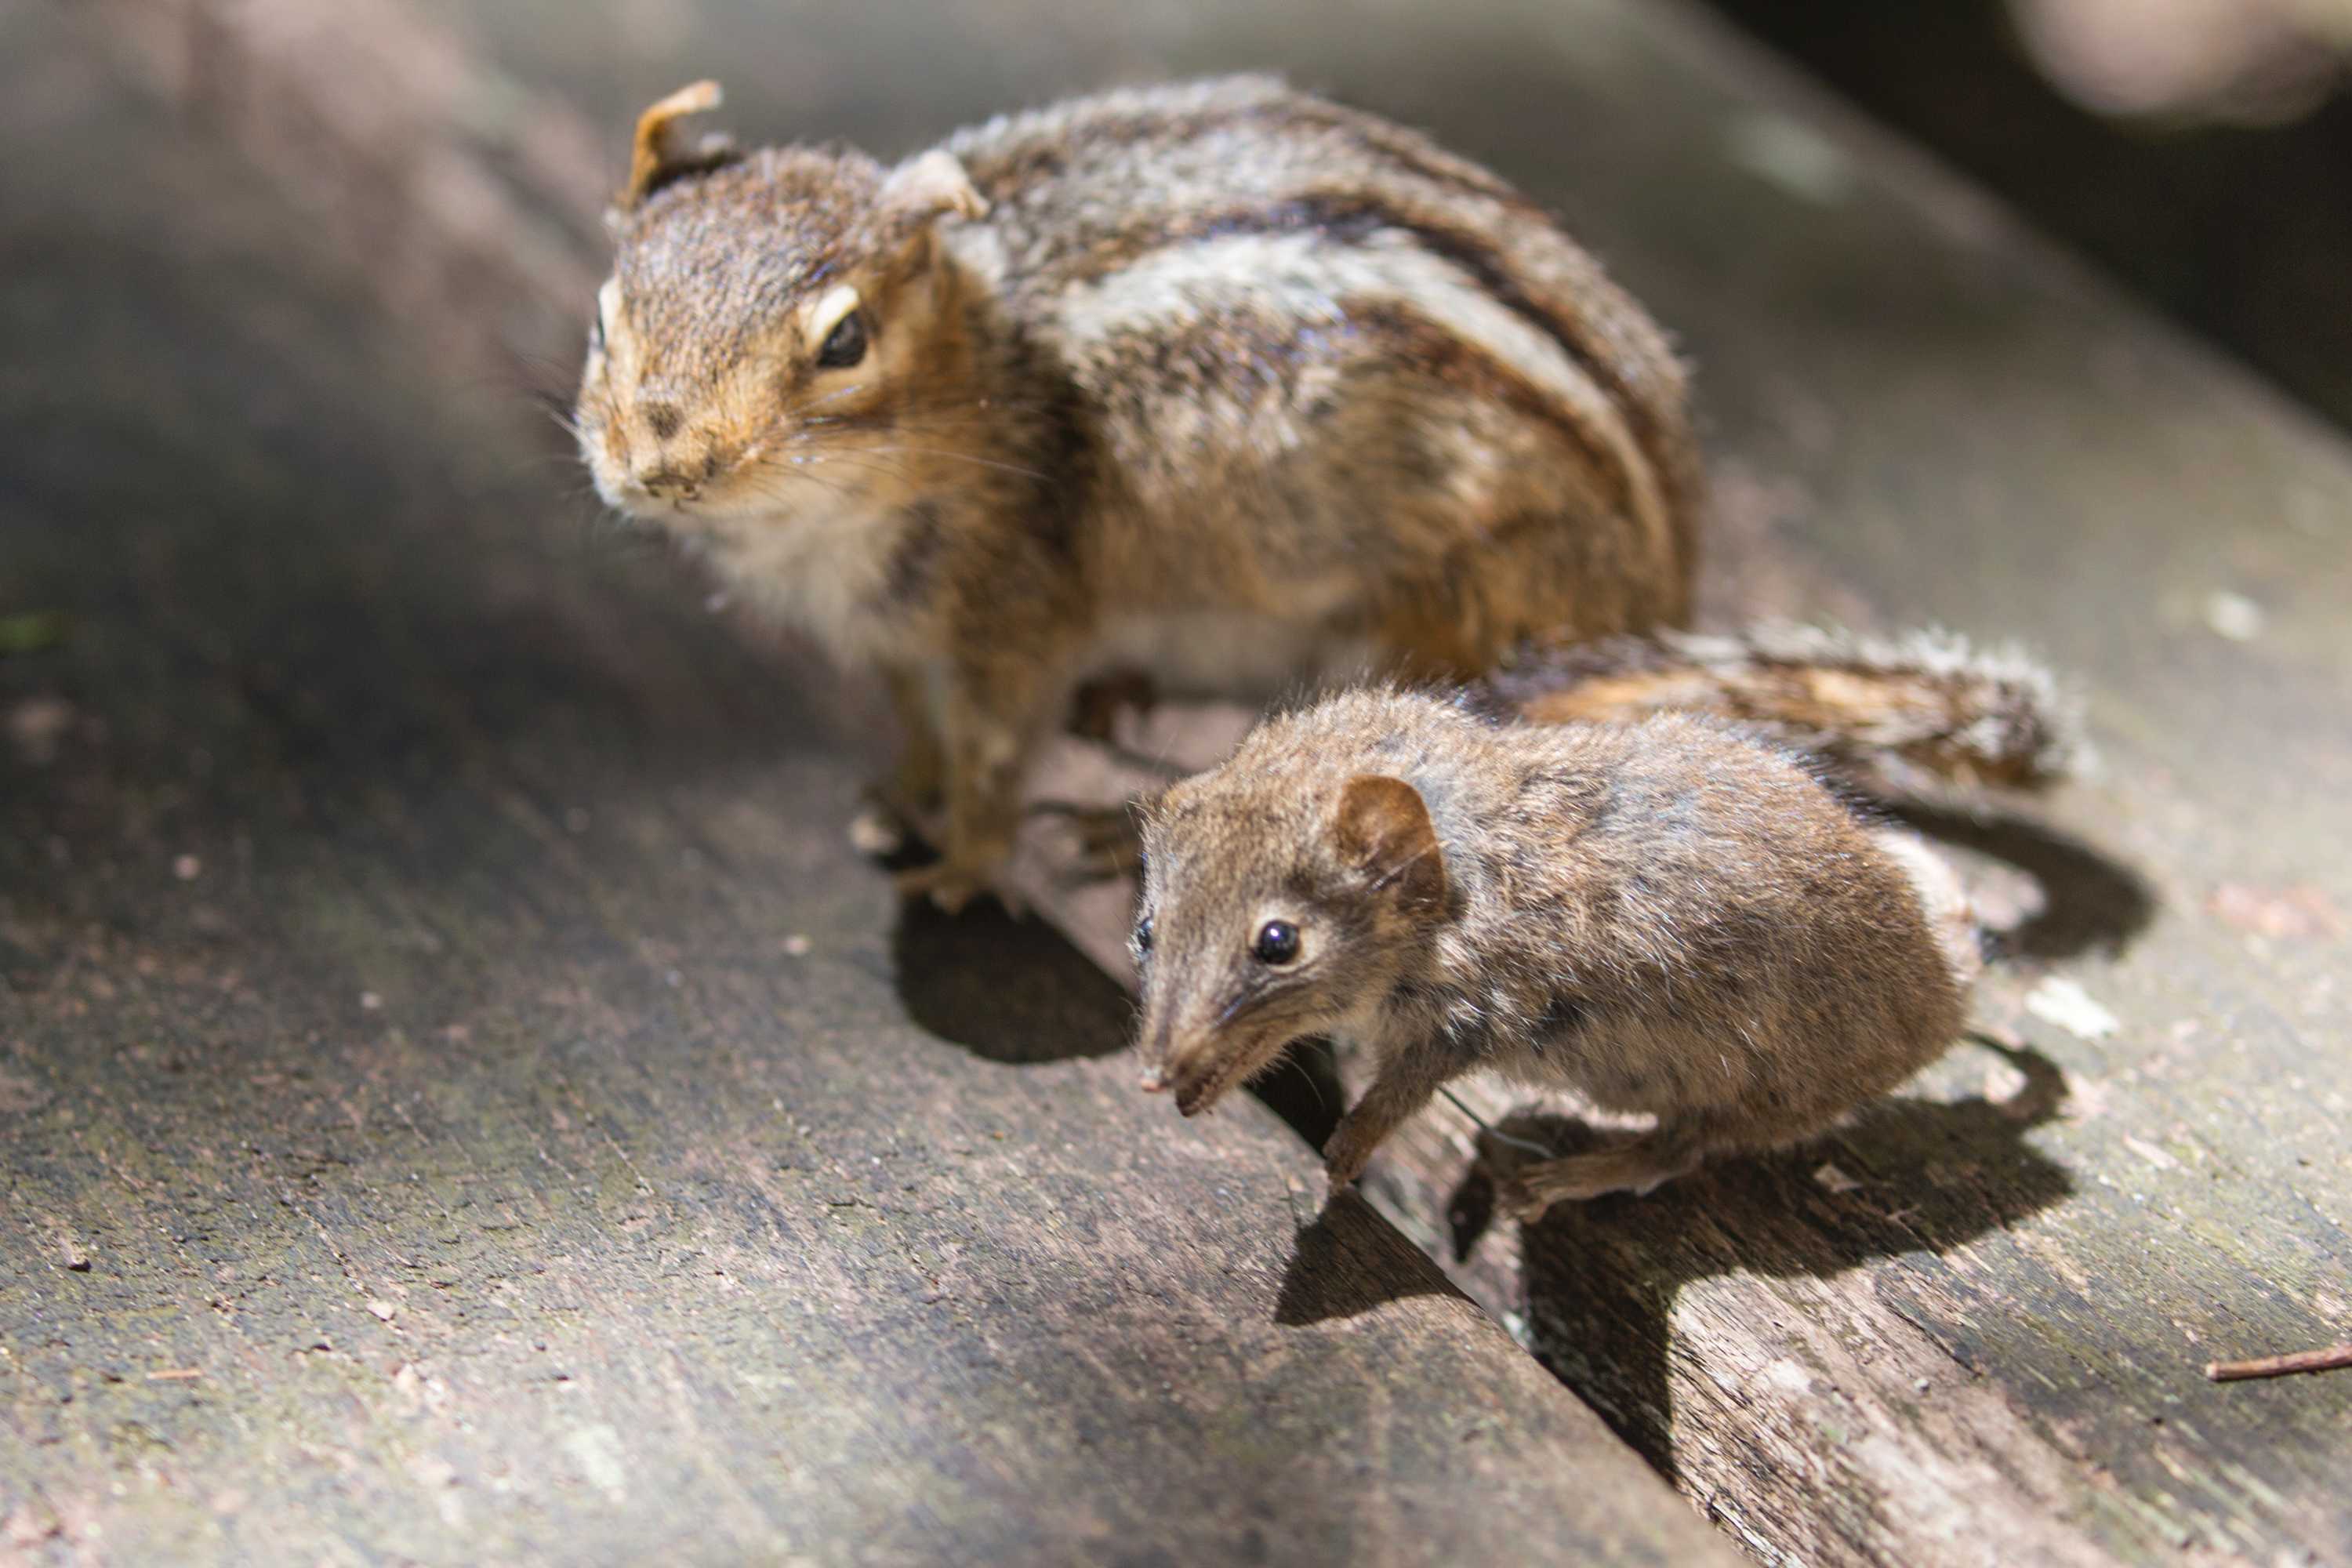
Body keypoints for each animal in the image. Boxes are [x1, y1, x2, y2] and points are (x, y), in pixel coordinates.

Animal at [573, 75, 1703, 909]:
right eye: (602, 315)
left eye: (846, 341)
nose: (665, 466)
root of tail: (1664, 583)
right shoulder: (890, 638)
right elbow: (918, 728)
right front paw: (896, 798)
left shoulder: (1012, 619)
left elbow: (991, 758)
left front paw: (961, 869)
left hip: (1436, 626)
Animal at [1130, 688, 1986, 1221]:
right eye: (1145, 932)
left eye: (1279, 943)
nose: (1152, 1076)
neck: (1455, 888)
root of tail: (1946, 1002)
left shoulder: (1466, 1023)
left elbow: (1394, 1097)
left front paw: (1340, 1164)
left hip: (1745, 1092)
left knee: (1676, 1152)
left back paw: (1556, 1179)